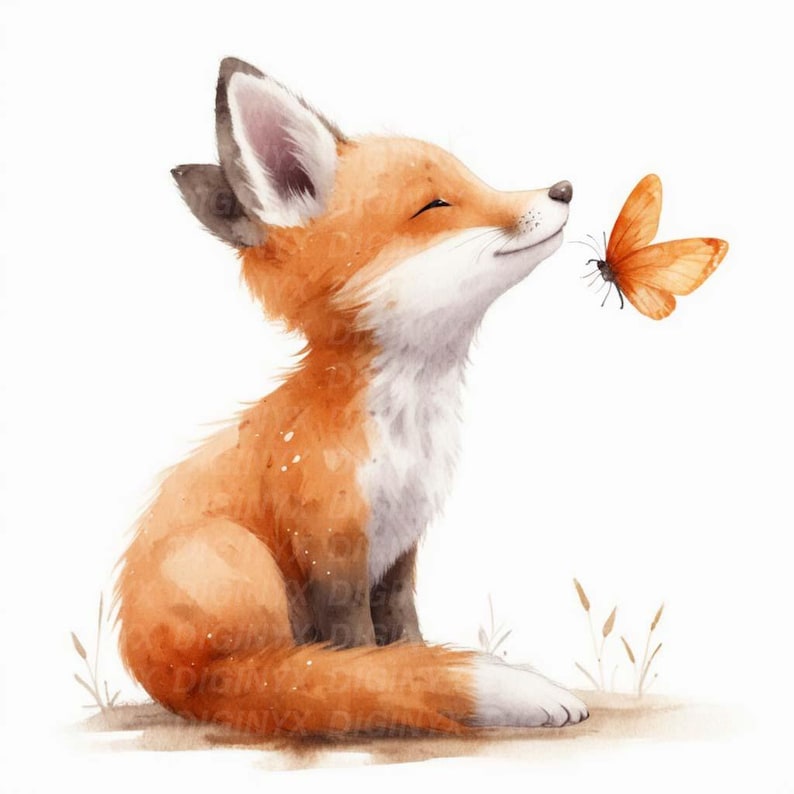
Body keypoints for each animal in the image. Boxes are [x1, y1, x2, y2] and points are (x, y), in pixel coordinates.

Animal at [114, 57, 588, 736]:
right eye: (436, 204)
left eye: (473, 177)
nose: (563, 190)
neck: (407, 428)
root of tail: (162, 674)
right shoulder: (331, 548)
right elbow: (358, 653)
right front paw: (384, 691)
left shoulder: (400, 551)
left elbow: (404, 637)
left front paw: (412, 664)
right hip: (232, 555)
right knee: (268, 678)